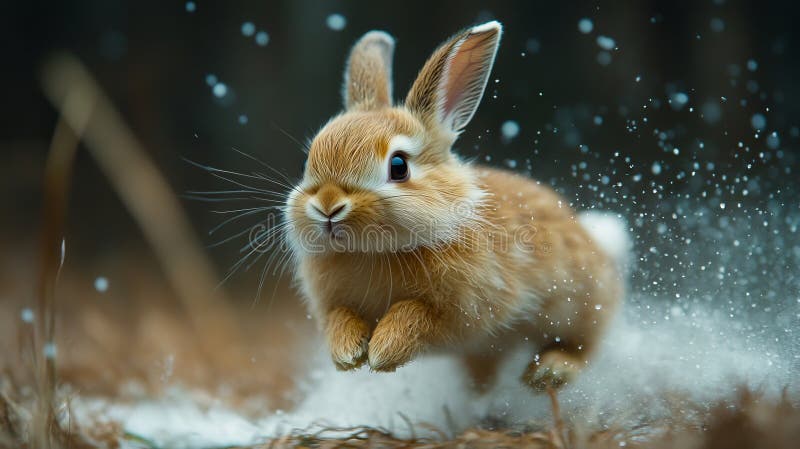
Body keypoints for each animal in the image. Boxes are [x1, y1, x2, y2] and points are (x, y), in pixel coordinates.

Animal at [283, 21, 628, 392]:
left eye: (398, 166)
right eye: (308, 161)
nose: (328, 206)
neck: (374, 253)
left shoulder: (461, 312)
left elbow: (414, 315)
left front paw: (382, 352)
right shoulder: (334, 305)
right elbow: (339, 318)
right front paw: (348, 354)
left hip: (578, 307)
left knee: (585, 345)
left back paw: (549, 371)